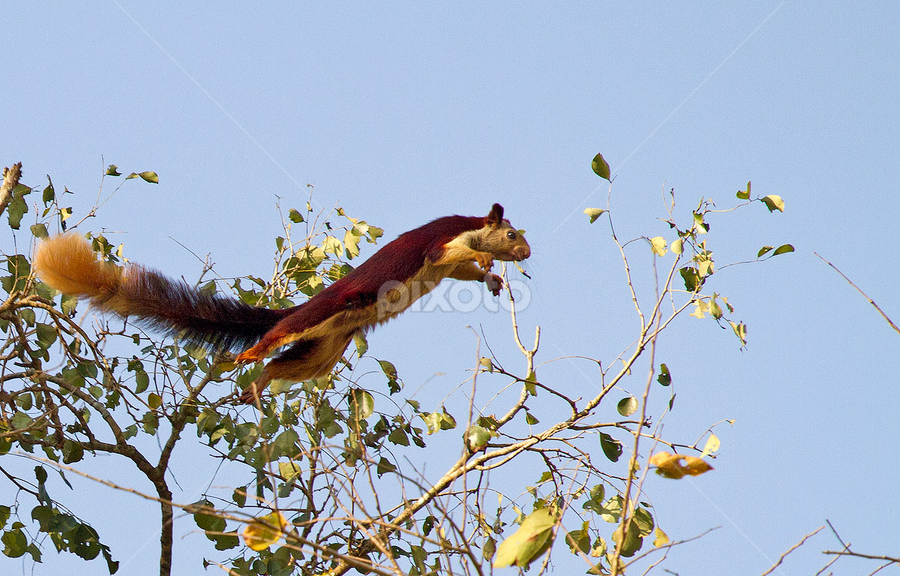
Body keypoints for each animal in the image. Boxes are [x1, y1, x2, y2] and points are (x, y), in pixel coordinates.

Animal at [33, 203, 531, 403]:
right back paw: (246, 358)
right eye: (511, 234)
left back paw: (254, 388)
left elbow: (462, 273)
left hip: (325, 347)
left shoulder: (448, 268)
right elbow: (450, 256)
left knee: (287, 366)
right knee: (275, 338)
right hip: (318, 318)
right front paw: (486, 262)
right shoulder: (441, 245)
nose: (526, 254)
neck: (470, 225)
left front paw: (490, 279)